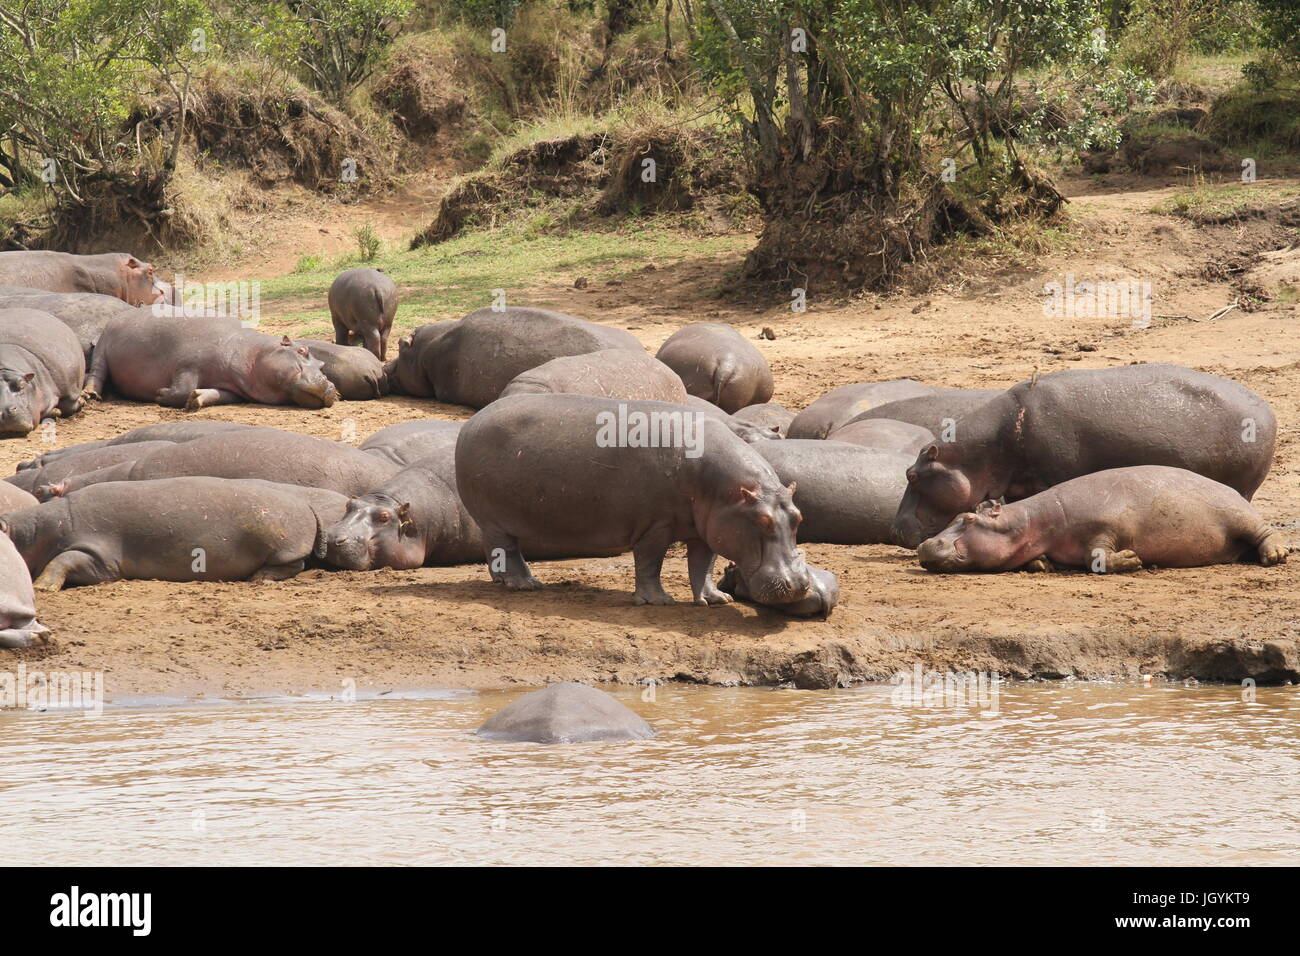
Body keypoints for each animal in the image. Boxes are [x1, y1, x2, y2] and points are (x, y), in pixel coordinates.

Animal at [0, 308, 86, 437]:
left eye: (21, 384)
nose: (3, 411)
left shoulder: (70, 389)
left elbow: (69, 405)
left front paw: (81, 401)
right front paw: (56, 411)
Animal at [2, 478, 349, 589]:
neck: (33, 532)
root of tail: (306, 505)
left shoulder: (99, 557)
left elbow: (63, 560)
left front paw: (43, 587)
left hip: (280, 543)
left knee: (291, 565)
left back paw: (258, 578)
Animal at [87, 314, 338, 410]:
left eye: (322, 365)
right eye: (302, 350)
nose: (331, 385)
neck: (254, 352)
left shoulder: (234, 389)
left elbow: (217, 395)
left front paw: (196, 399)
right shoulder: (188, 364)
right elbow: (182, 387)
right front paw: (160, 394)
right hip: (102, 348)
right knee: (96, 373)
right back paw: (89, 396)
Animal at [456, 394, 811, 606]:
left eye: (798, 517)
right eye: (763, 520)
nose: (797, 584)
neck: (725, 490)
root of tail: (471, 422)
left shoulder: (709, 526)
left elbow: (703, 564)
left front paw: (715, 598)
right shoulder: (656, 525)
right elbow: (651, 562)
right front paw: (659, 601)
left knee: (499, 553)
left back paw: (514, 581)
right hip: (495, 520)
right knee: (505, 550)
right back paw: (524, 585)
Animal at [917, 466, 1288, 573]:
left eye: (967, 519)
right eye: (955, 516)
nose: (925, 543)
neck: (1029, 521)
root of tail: (1233, 490)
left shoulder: (1103, 528)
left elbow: (1096, 556)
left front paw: (1132, 559)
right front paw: (1040, 564)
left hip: (1238, 514)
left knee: (1265, 532)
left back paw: (1276, 555)